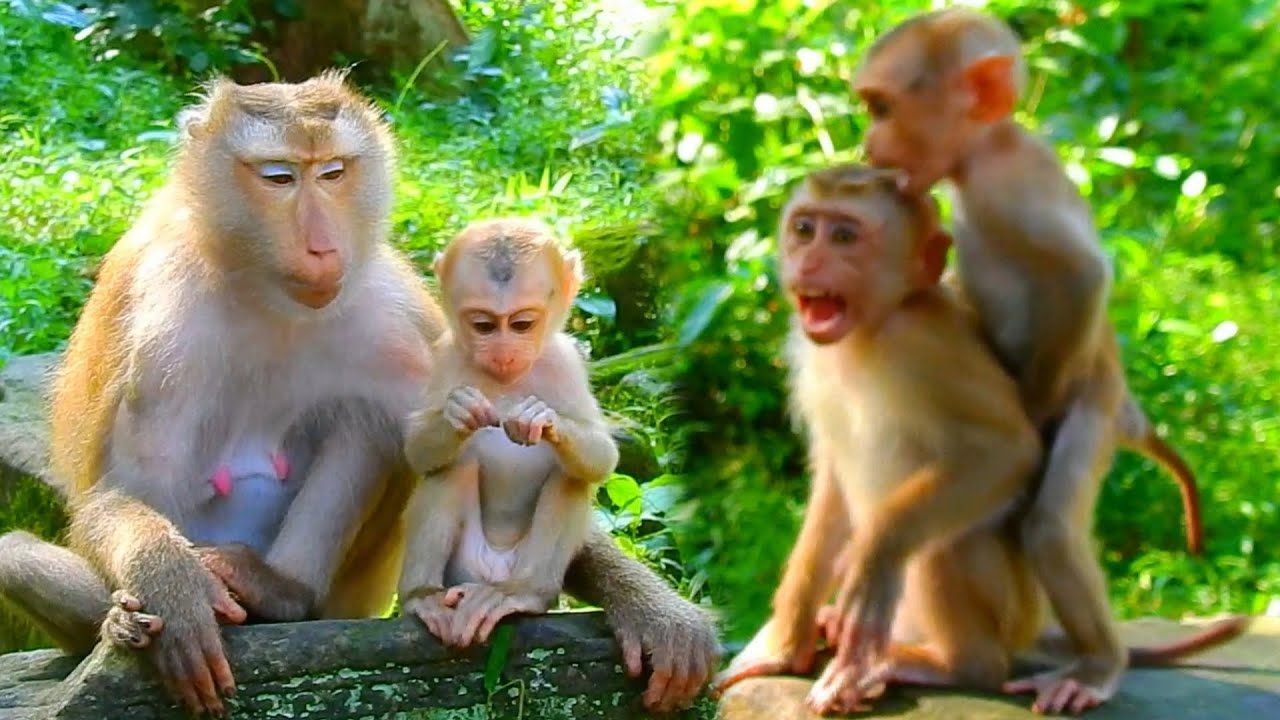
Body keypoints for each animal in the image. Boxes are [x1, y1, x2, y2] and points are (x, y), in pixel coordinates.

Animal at [397, 218, 619, 650]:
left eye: (521, 324)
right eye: (483, 325)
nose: (502, 352)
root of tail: (492, 573)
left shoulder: (565, 361)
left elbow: (602, 456)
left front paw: (542, 418)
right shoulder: (447, 354)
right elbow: (416, 451)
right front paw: (457, 411)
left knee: (571, 474)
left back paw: (521, 594)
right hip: (462, 568)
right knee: (451, 467)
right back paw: (422, 596)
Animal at [708, 165, 1247, 716]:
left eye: (843, 237)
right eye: (803, 228)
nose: (810, 260)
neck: (867, 333)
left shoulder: (927, 342)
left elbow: (1008, 451)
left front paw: (877, 556)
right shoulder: (811, 356)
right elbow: (832, 488)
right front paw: (784, 645)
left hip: (1008, 604)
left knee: (954, 543)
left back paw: (960, 664)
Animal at [852, 9, 1209, 711]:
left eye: (882, 109)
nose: (868, 148)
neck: (983, 152)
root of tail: (1126, 408)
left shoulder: (1010, 189)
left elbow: (1083, 276)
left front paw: (1034, 408)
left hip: (1094, 410)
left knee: (1050, 528)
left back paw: (1097, 665)